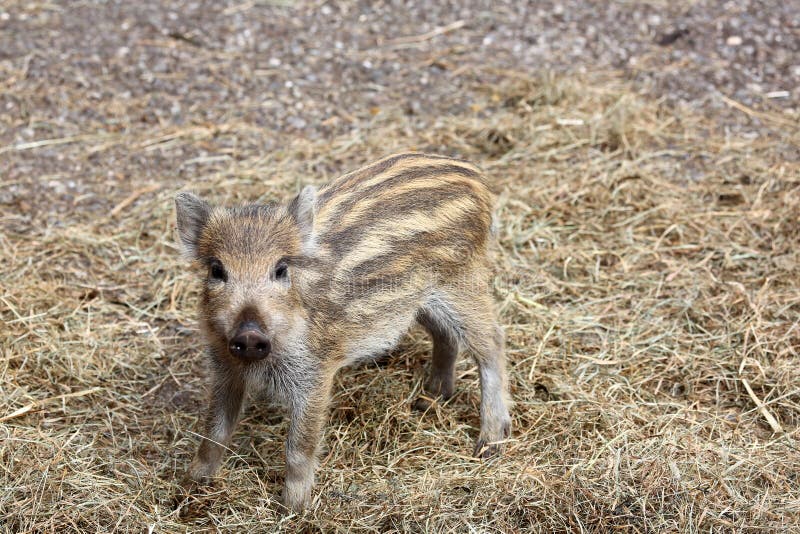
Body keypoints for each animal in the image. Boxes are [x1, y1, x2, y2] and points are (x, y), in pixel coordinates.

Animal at [175, 153, 512, 511]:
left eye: (281, 268)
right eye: (216, 269)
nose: (250, 335)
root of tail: (477, 178)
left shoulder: (314, 372)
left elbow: (299, 447)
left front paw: (293, 510)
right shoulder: (224, 367)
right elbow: (213, 432)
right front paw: (189, 488)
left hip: (462, 284)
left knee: (492, 342)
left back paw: (488, 445)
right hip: (419, 300)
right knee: (446, 336)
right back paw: (430, 398)